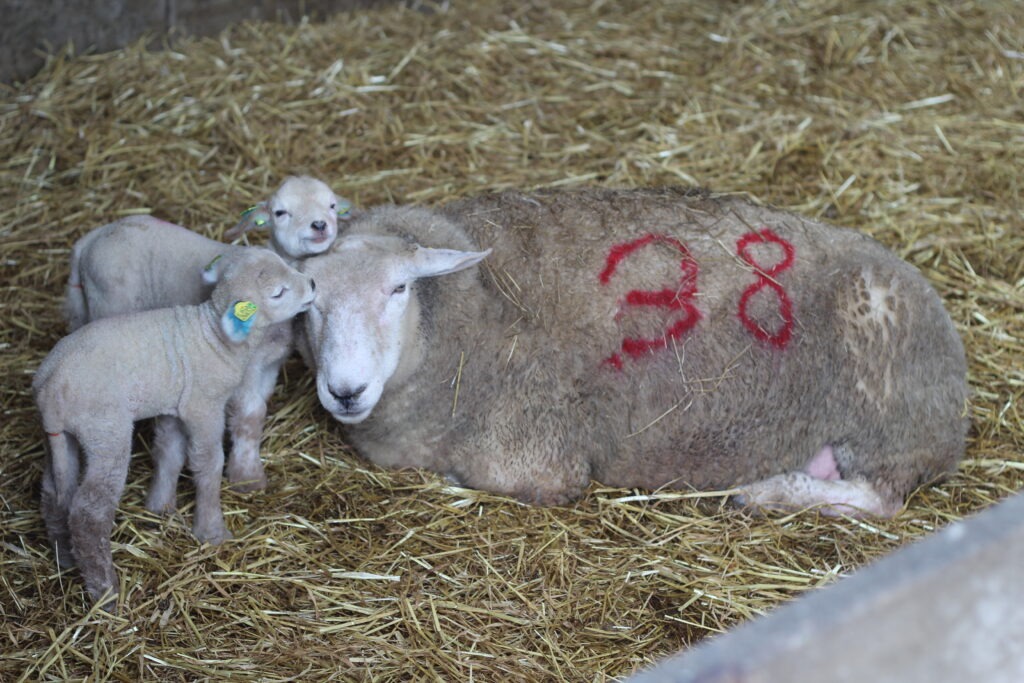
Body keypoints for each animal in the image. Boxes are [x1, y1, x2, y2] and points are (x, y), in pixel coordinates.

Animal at [34, 248, 316, 604]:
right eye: (279, 292)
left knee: (53, 491)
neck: (214, 336)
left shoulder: (174, 407)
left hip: (59, 438)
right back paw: (106, 592)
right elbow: (208, 463)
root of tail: (51, 388)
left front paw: (161, 506)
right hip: (105, 431)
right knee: (88, 513)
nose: (313, 284)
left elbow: (169, 452)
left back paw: (66, 557)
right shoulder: (203, 406)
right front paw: (211, 530)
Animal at [62, 175, 350, 493]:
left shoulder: (269, 365)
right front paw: (246, 476)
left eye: (332, 205)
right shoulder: (244, 370)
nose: (319, 225)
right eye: (280, 212)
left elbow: (258, 413)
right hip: (110, 301)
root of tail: (89, 240)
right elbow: (247, 415)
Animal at [297, 187, 969, 517]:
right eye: (309, 300)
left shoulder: (538, 463)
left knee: (881, 500)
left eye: (398, 289)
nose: (346, 390)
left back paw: (770, 492)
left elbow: (470, 478)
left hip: (891, 421)